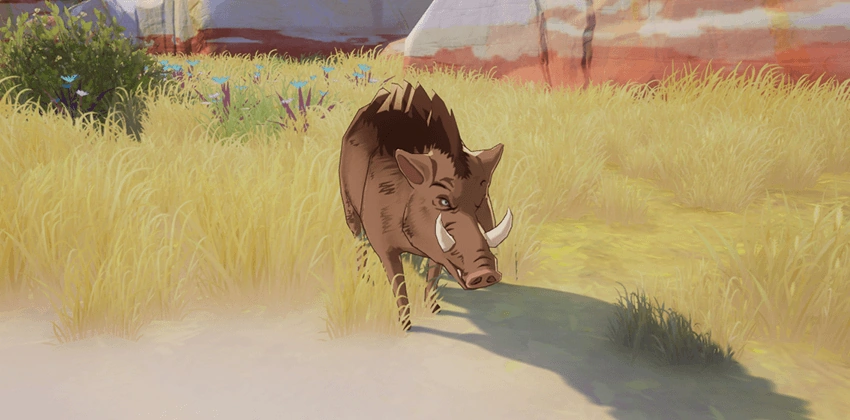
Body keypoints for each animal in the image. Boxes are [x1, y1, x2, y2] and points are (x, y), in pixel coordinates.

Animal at [338, 81, 513, 330]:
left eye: (482, 196)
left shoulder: (438, 249)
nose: (485, 273)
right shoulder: (383, 245)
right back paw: (363, 279)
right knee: (358, 241)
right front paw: (406, 325)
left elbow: (433, 273)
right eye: (442, 200)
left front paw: (435, 309)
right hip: (349, 209)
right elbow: (398, 282)